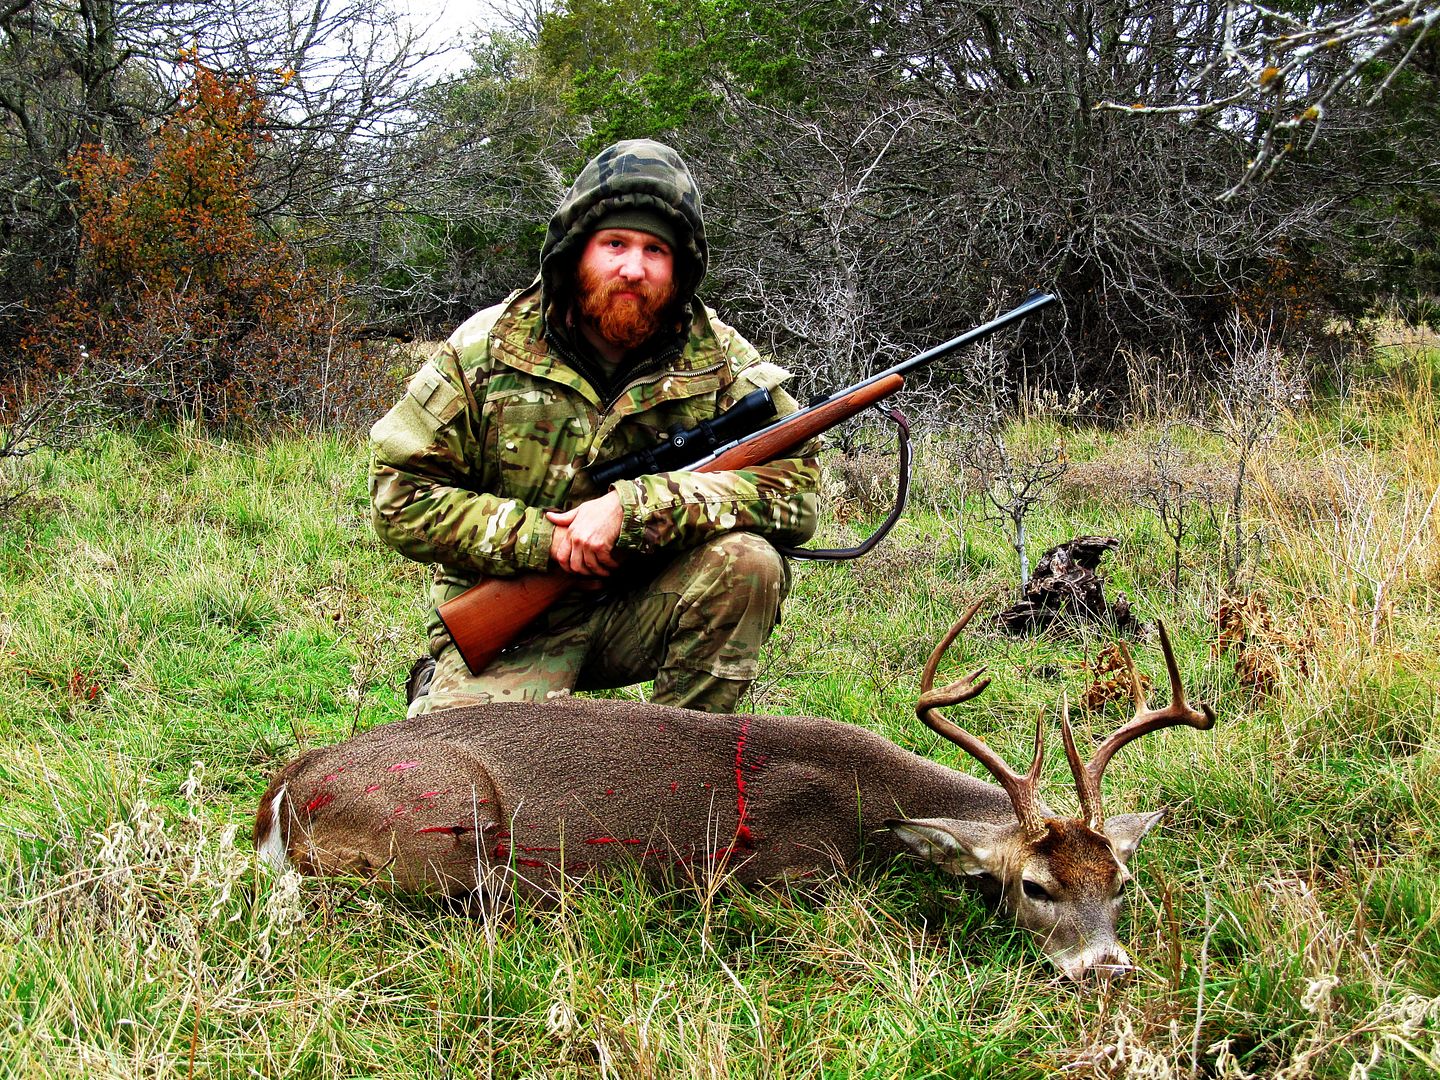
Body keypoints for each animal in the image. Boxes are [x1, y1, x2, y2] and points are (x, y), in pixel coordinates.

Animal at [253, 601, 1215, 980]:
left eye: (1122, 883)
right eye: (1035, 887)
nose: (1109, 970)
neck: (868, 803)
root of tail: (286, 785)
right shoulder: (782, 875)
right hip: (444, 826)